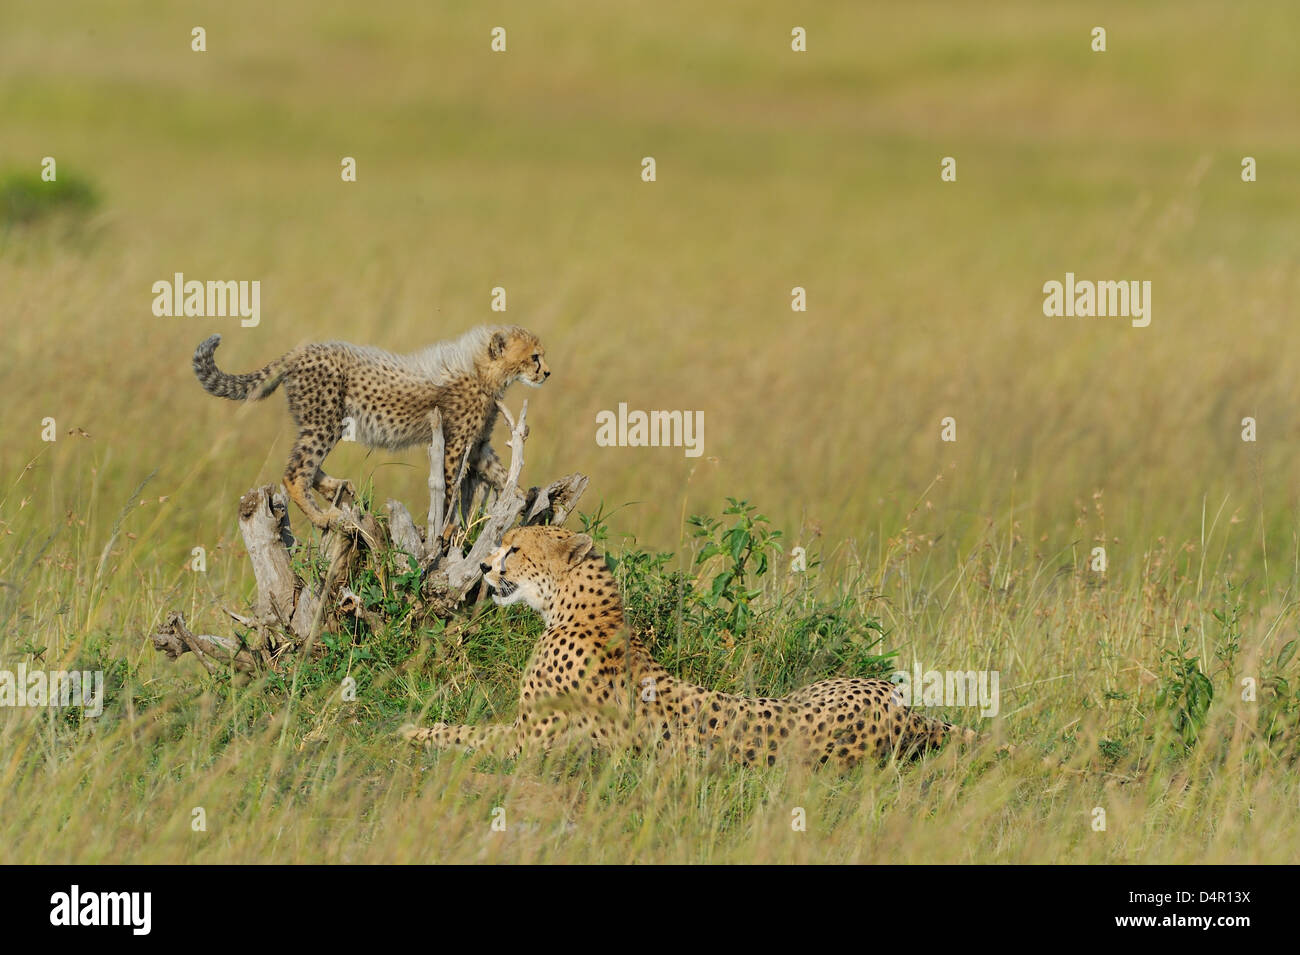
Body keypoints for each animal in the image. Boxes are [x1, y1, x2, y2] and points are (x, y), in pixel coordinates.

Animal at [193, 325, 549, 531]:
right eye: (535, 357)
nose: (546, 373)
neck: (483, 370)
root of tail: (302, 350)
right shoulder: (455, 444)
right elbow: (450, 488)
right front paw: (448, 528)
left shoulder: (477, 446)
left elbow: (500, 472)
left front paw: (521, 497)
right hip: (325, 421)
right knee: (295, 471)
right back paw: (323, 516)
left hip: (322, 422)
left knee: (304, 463)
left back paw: (334, 488)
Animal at [403, 524, 981, 769]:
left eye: (515, 548)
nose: (483, 566)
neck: (578, 608)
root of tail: (903, 709)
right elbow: (466, 729)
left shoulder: (527, 744)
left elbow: (464, 733)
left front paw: (410, 731)